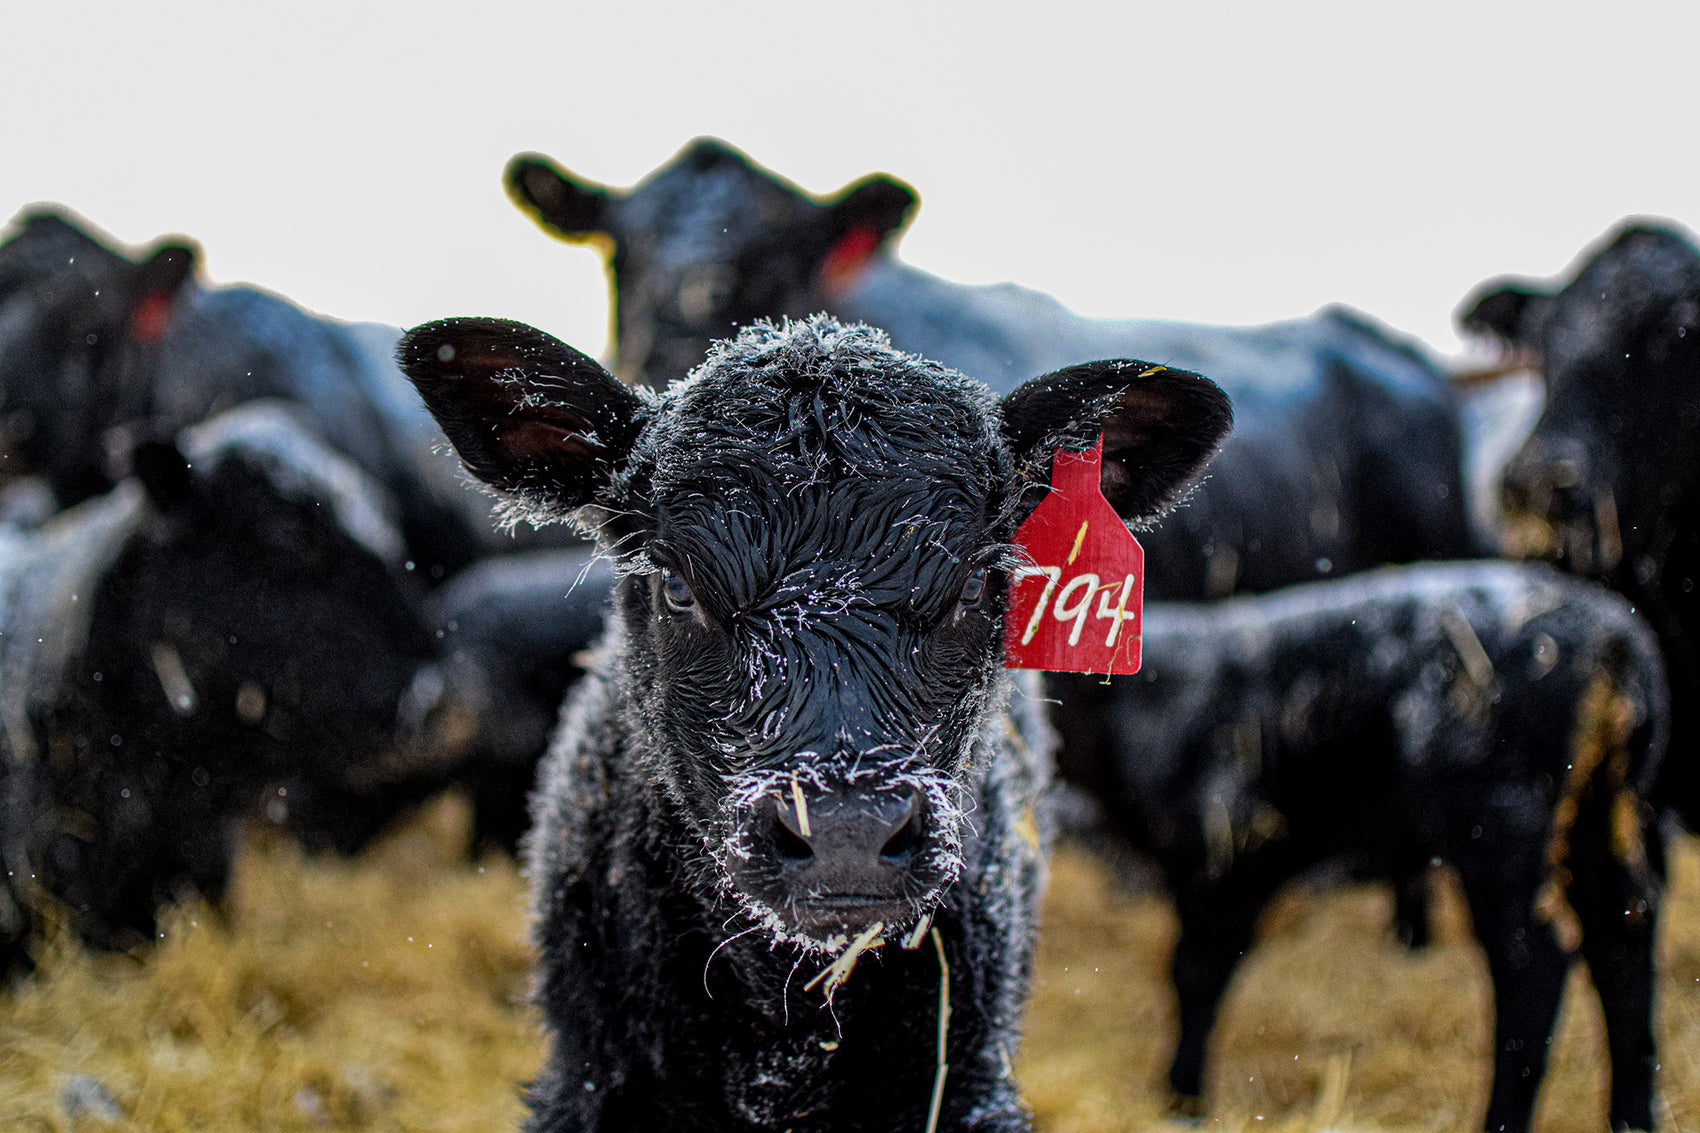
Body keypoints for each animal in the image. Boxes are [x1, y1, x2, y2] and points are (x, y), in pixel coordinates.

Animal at [1051, 561, 1666, 1133]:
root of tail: (1610, 633)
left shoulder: (1222, 853)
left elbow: (1195, 974)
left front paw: (1183, 1099)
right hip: (1604, 812)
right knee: (1623, 938)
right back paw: (1634, 1116)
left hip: (1504, 823)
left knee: (1535, 959)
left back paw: (1502, 1120)